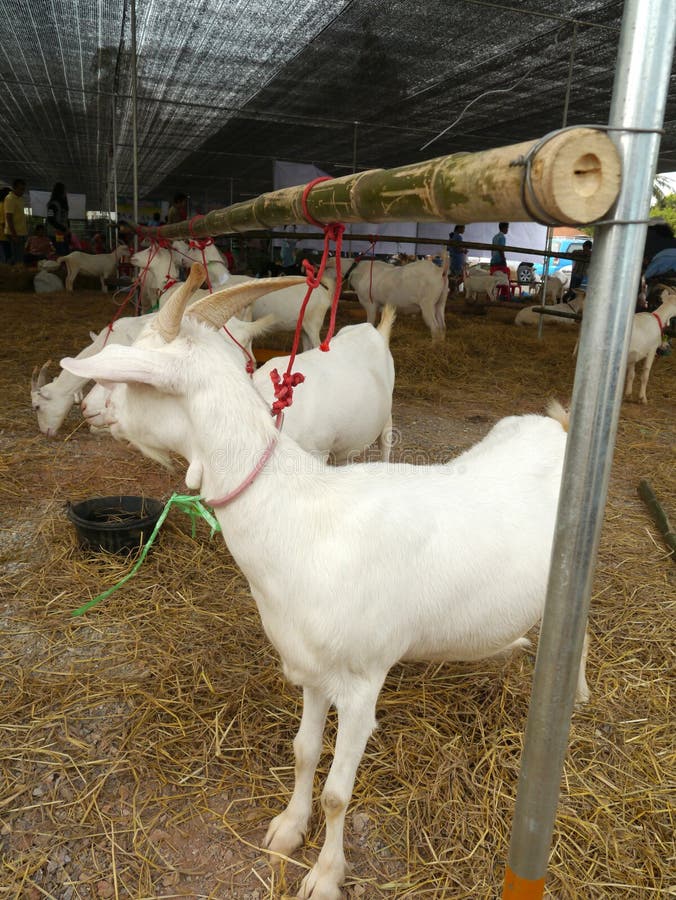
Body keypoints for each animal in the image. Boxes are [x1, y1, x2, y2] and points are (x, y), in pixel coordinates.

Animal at [60, 269, 590, 900]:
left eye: (128, 370)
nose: (88, 406)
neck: (302, 517)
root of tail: (558, 424)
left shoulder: (362, 684)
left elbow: (339, 793)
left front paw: (325, 874)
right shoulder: (311, 669)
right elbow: (303, 752)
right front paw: (288, 830)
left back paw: (577, 691)